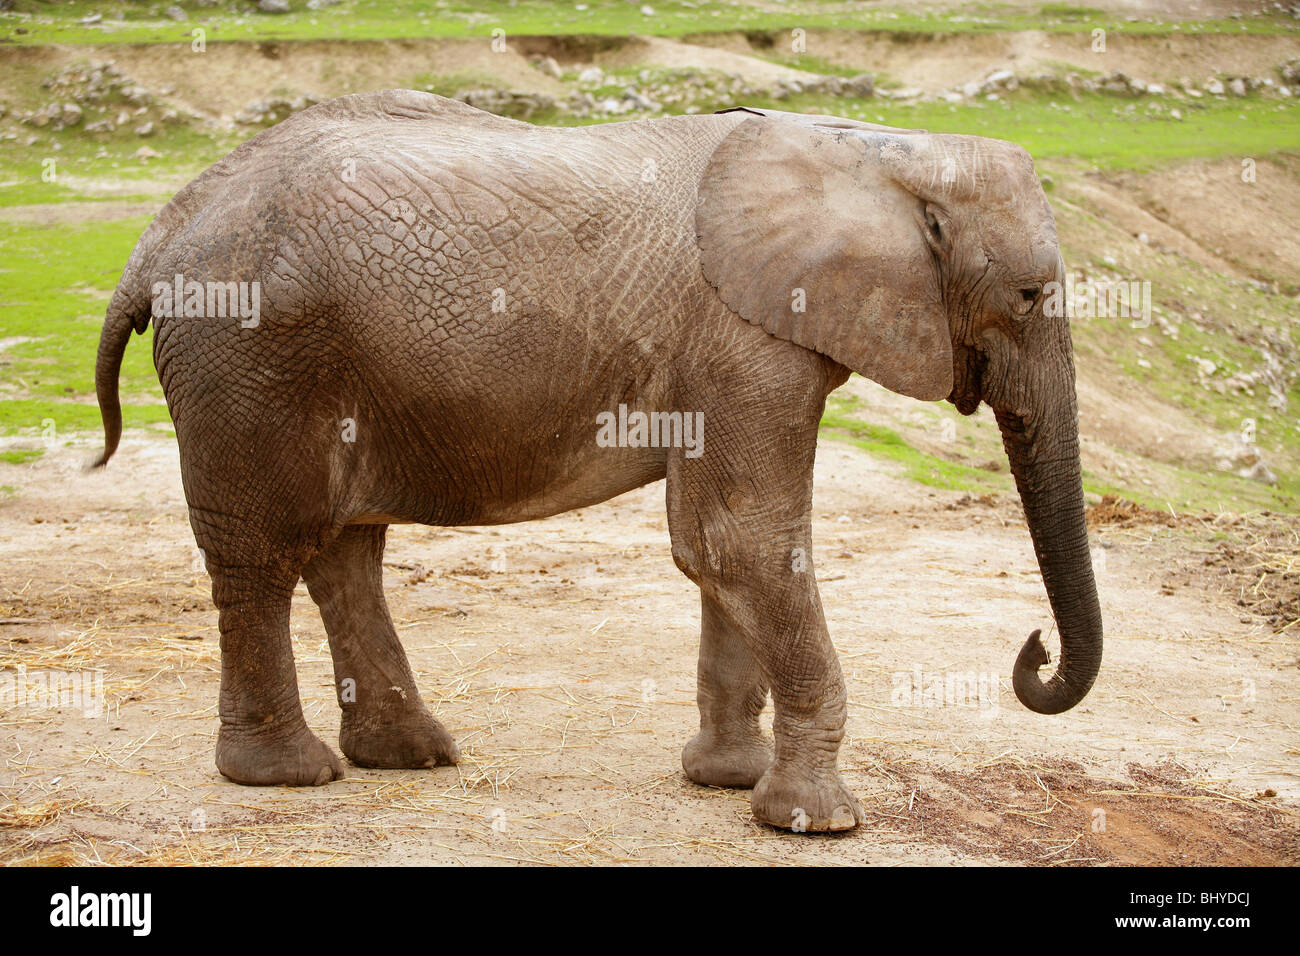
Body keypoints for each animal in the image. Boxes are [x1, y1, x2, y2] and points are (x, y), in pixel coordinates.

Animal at [92, 91, 1102, 833]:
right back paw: (286, 776)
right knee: (264, 554)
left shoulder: (735, 343)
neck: (878, 151)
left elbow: (722, 550)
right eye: (1029, 294)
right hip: (250, 354)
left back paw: (407, 753)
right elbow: (742, 539)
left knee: (347, 550)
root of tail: (156, 234)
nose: (1035, 647)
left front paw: (727, 781)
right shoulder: (742, 337)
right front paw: (814, 821)